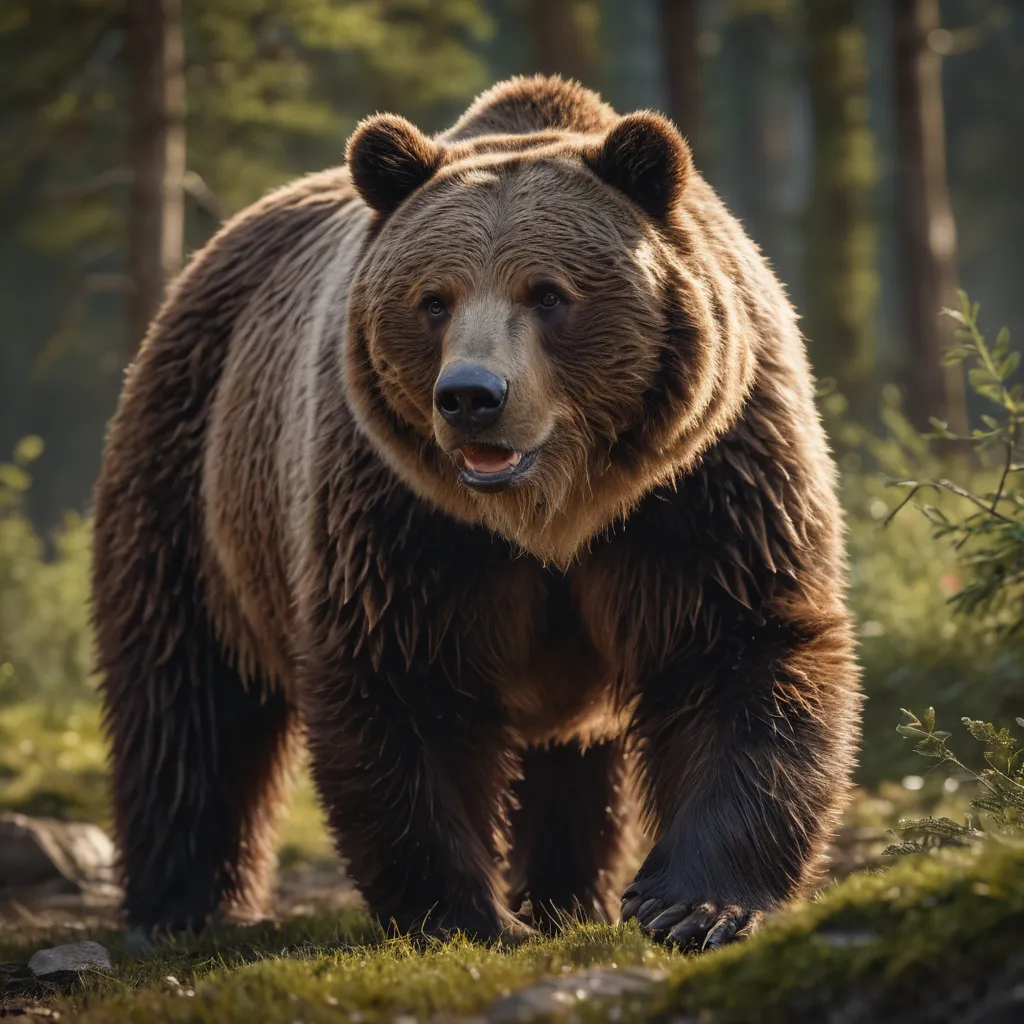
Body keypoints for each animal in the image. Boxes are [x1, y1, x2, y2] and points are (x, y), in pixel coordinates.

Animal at [91, 74, 861, 949]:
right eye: (433, 299)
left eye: (549, 293)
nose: (470, 397)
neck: (551, 513)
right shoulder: (405, 518)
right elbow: (409, 683)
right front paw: (465, 913)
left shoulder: (703, 488)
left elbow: (741, 648)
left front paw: (691, 905)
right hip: (195, 480)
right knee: (187, 693)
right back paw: (183, 903)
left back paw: (569, 893)